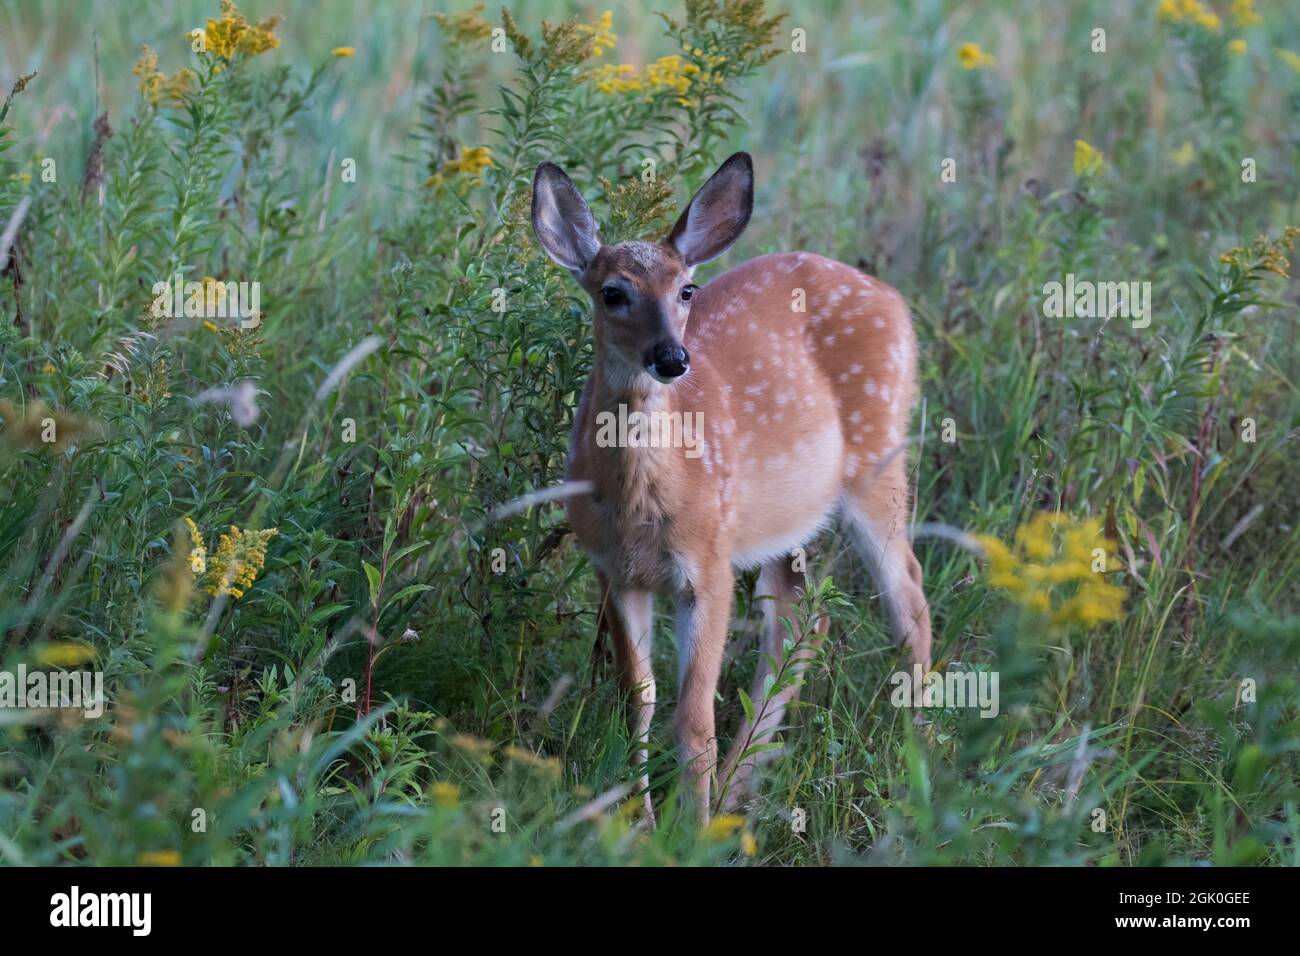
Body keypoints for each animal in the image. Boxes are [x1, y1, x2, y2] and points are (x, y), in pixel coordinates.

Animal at [530, 152, 931, 824]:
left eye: (686, 290)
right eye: (613, 293)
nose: (672, 358)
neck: (645, 504)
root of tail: (894, 299)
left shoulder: (709, 564)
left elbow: (693, 719)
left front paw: (686, 829)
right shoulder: (614, 571)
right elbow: (638, 698)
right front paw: (642, 818)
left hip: (879, 461)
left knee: (910, 600)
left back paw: (918, 768)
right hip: (788, 523)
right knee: (801, 621)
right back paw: (736, 791)